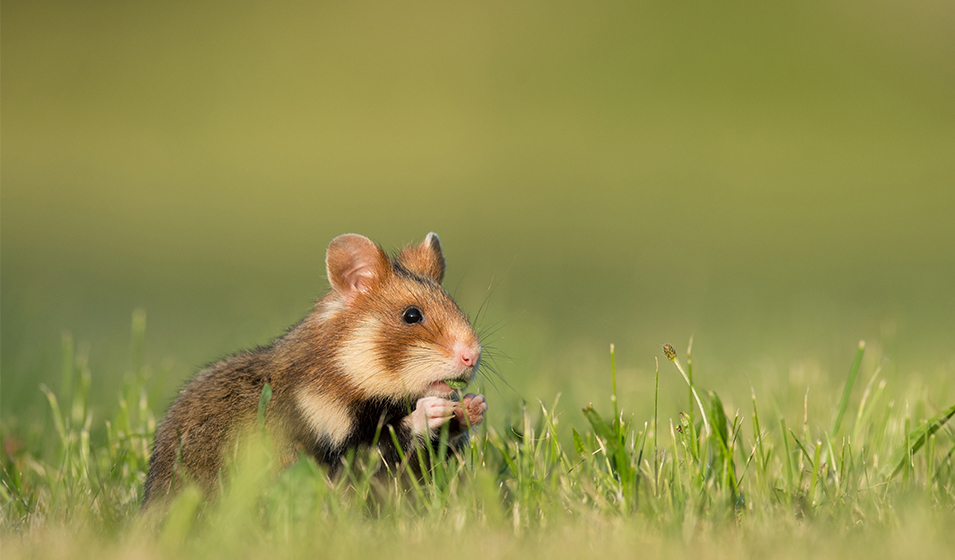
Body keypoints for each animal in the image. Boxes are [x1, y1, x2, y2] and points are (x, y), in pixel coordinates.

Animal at [142, 233, 487, 507]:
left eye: (453, 304)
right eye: (412, 315)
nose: (473, 355)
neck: (346, 371)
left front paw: (473, 406)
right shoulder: (332, 442)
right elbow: (382, 443)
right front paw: (432, 409)